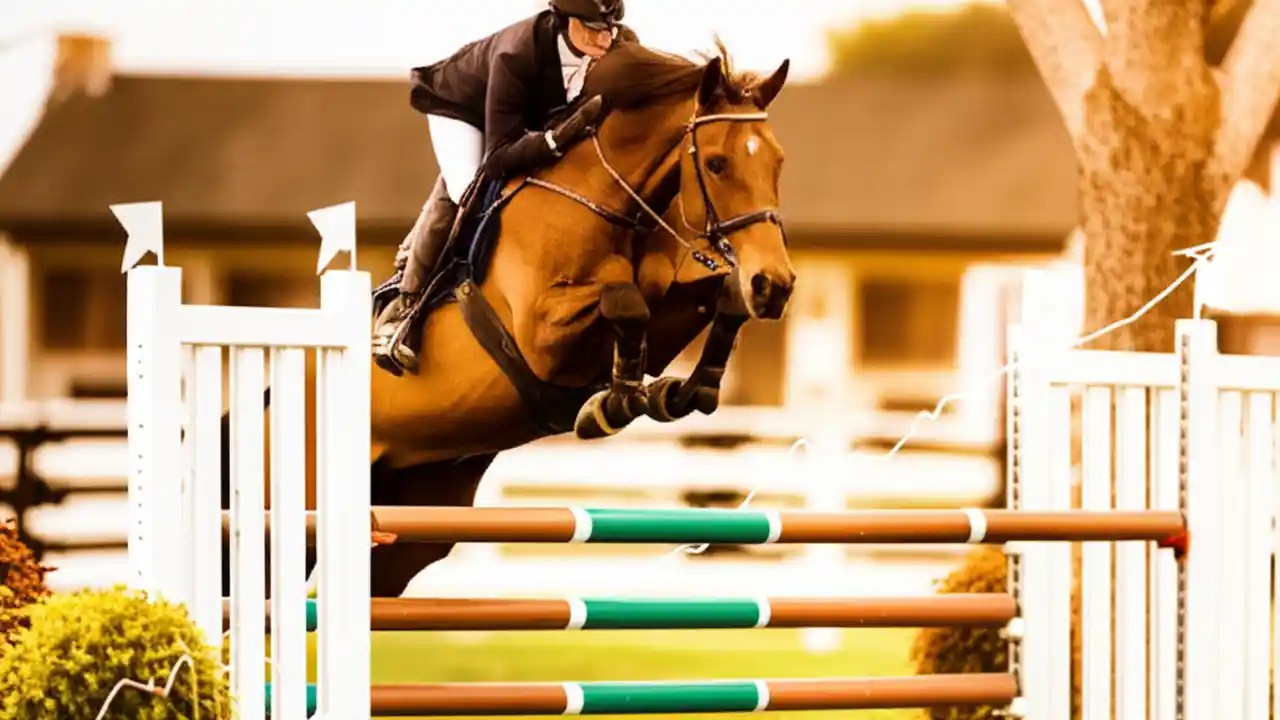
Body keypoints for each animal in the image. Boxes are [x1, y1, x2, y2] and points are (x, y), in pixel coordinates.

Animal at [223, 41, 796, 597]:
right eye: (718, 164)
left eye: (778, 162)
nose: (776, 284)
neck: (607, 202)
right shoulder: (545, 337)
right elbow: (624, 300)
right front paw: (613, 406)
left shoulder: (663, 313)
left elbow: (716, 298)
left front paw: (680, 391)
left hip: (412, 523)